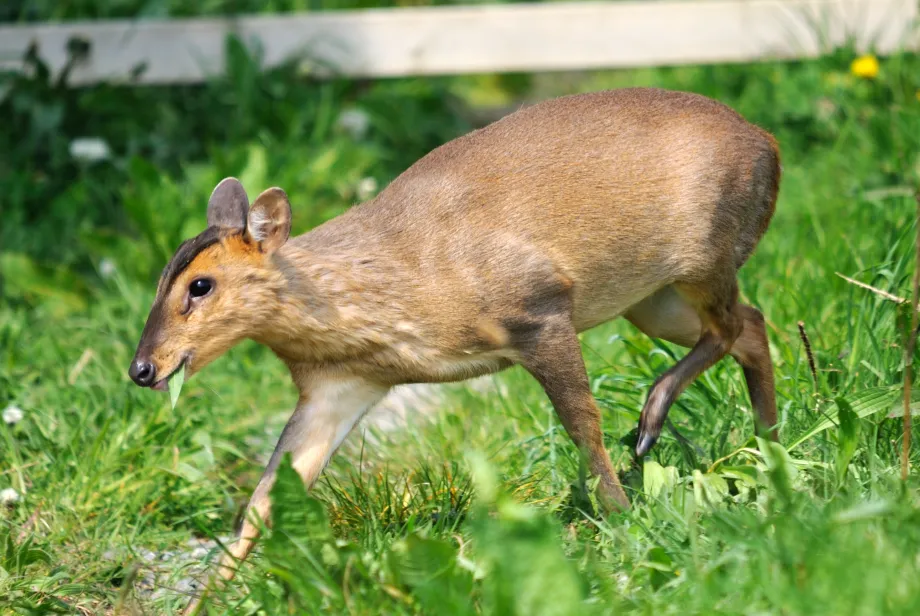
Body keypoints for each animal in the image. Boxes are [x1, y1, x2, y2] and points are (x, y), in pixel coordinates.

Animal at [128, 87, 780, 612]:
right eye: (160, 278)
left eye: (200, 285)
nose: (141, 368)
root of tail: (769, 142)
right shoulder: (336, 384)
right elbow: (264, 499)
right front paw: (203, 603)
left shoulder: (538, 309)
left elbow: (582, 423)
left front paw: (621, 520)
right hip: (648, 297)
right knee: (753, 325)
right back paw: (770, 450)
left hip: (703, 256)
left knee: (732, 325)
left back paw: (657, 422)